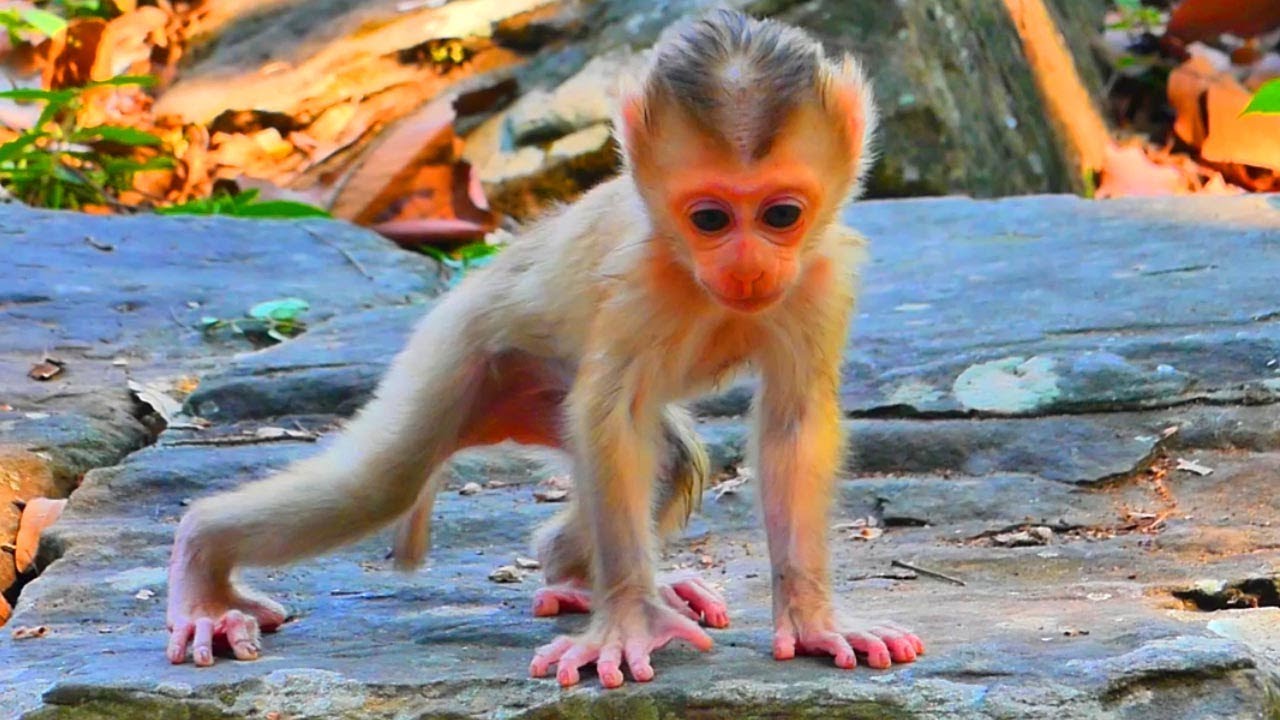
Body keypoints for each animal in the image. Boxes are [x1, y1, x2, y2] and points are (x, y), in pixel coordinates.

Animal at [164, 9, 925, 688]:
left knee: (669, 460)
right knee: (381, 483)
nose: (747, 268)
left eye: (781, 215)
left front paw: (815, 620)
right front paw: (628, 623)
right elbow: (613, 420)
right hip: (457, 347)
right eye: (711, 219)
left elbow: (793, 423)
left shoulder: (822, 279)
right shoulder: (635, 277)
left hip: (532, 392)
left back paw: (571, 577)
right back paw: (203, 567)